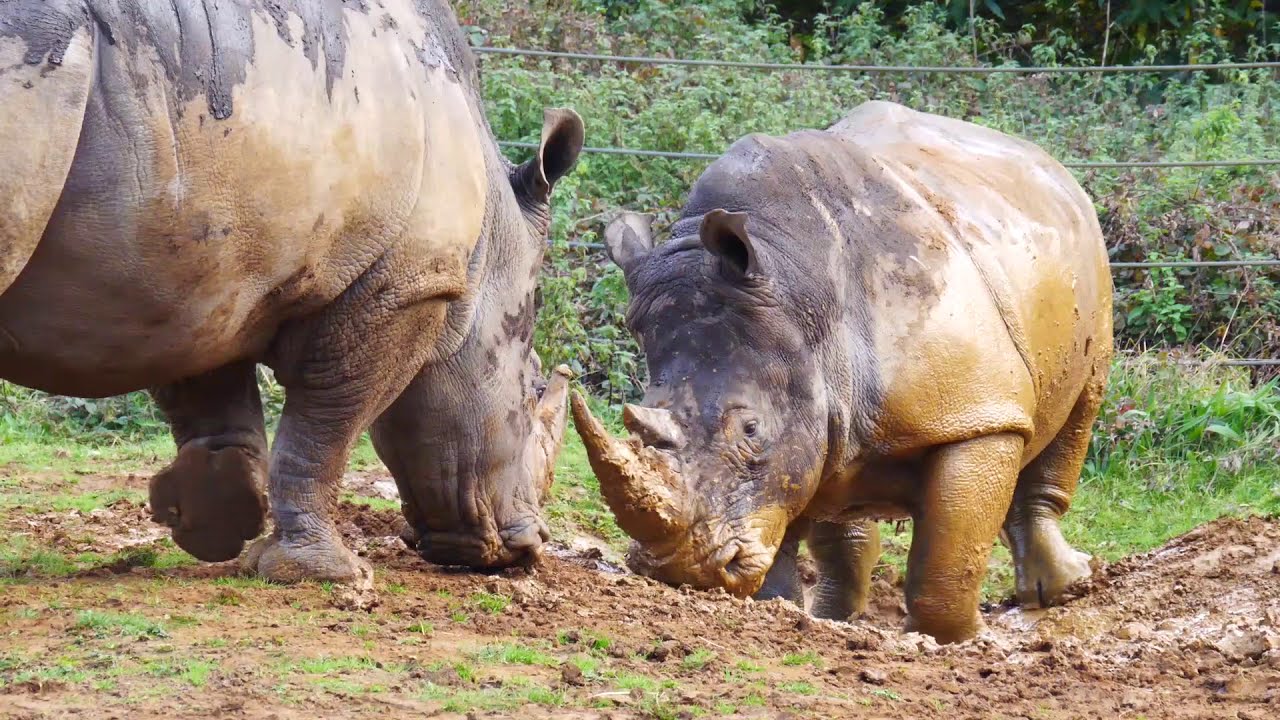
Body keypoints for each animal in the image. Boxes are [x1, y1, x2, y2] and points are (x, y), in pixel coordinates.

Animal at [0, 0, 584, 583]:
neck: (489, 242)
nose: (526, 552)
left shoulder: (201, 270)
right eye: (530, 390)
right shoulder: (409, 288)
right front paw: (324, 572)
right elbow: (329, 423)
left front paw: (210, 522)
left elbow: (211, 387)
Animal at [572, 101, 1114, 643]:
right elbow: (785, 517)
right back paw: (834, 617)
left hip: (1087, 264)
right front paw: (782, 611)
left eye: (751, 430)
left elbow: (948, 554)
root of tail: (1047, 164)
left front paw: (964, 640)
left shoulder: (980, 414)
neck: (795, 284)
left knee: (1082, 405)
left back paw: (1064, 588)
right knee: (838, 476)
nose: (677, 570)